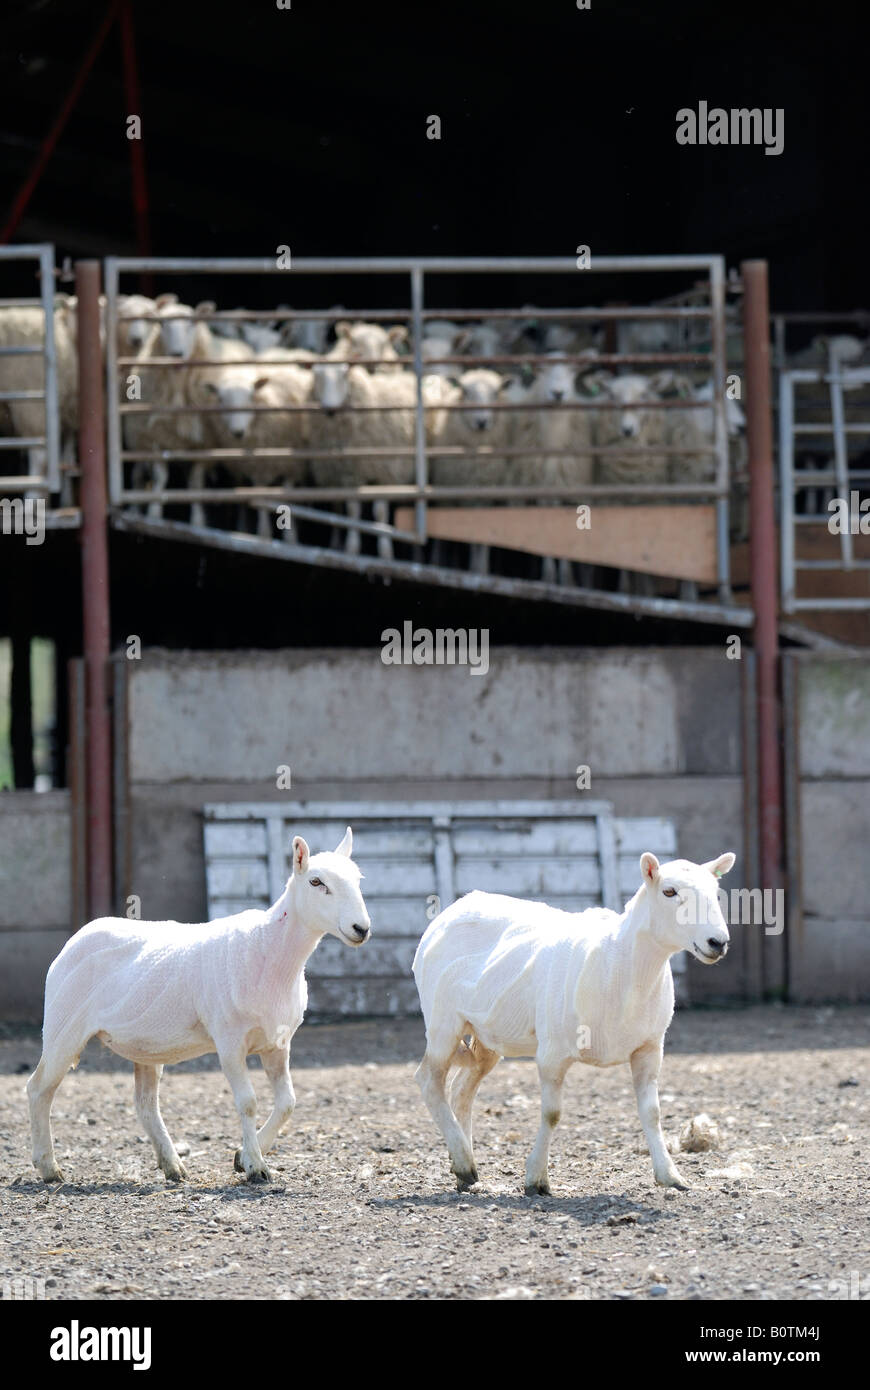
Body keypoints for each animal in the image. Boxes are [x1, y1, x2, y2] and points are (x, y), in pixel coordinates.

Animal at [27, 827, 371, 1185]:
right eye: (316, 882)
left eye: (358, 880)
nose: (362, 928)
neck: (269, 949)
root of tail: (79, 935)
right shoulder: (229, 1041)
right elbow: (248, 1102)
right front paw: (255, 1165)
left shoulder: (278, 1043)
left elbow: (287, 1103)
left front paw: (242, 1156)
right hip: (63, 1027)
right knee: (39, 1089)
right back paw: (49, 1167)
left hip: (144, 1046)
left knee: (145, 1103)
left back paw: (172, 1165)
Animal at [413, 849, 735, 1195]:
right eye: (670, 892)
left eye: (716, 893)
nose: (718, 942)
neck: (621, 963)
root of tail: (455, 908)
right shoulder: (552, 1052)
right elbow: (552, 1114)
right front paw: (536, 1178)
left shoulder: (649, 1048)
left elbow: (652, 1113)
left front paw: (670, 1175)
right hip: (443, 1022)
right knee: (429, 1081)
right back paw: (463, 1162)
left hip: (487, 1034)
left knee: (462, 1089)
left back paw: (464, 1166)